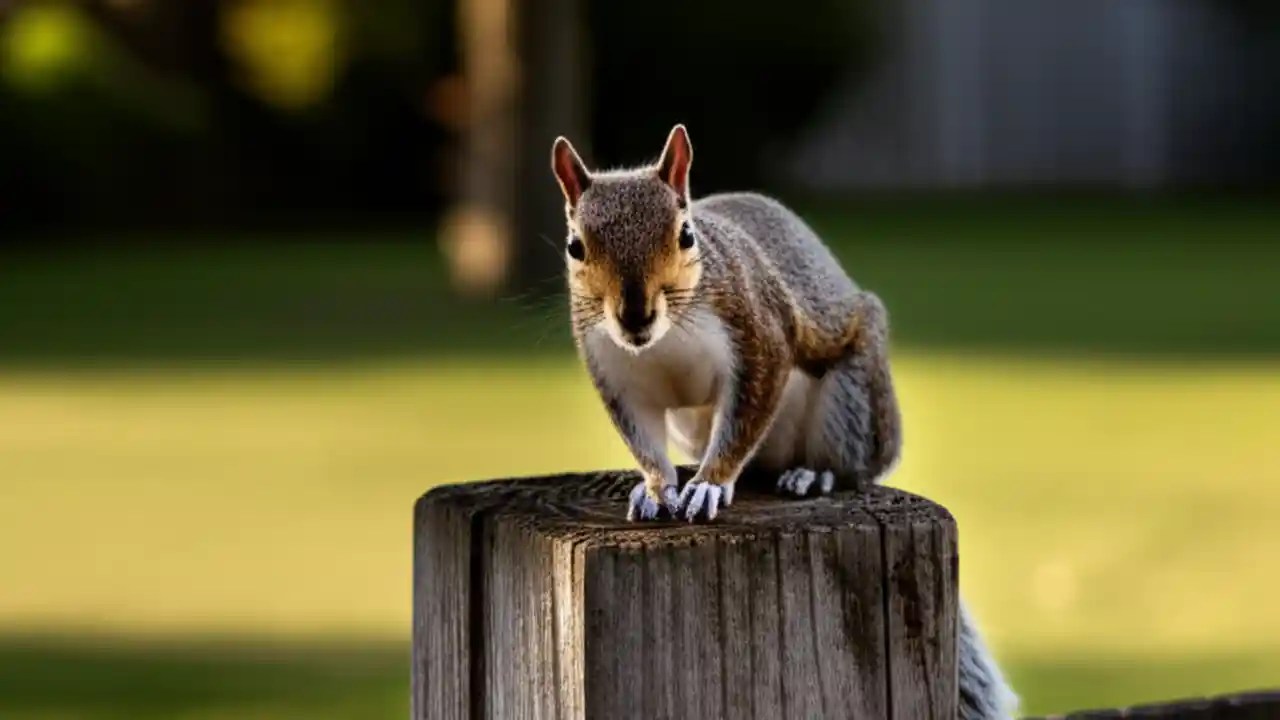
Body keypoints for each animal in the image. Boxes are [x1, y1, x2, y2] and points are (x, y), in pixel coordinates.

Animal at [552, 125, 1018, 720]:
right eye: (575, 246)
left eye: (686, 234)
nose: (635, 317)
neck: (666, 333)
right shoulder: (616, 374)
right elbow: (643, 440)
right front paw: (657, 487)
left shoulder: (757, 332)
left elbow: (748, 408)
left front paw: (708, 485)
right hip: (696, 424)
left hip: (852, 400)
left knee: (853, 462)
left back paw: (812, 474)